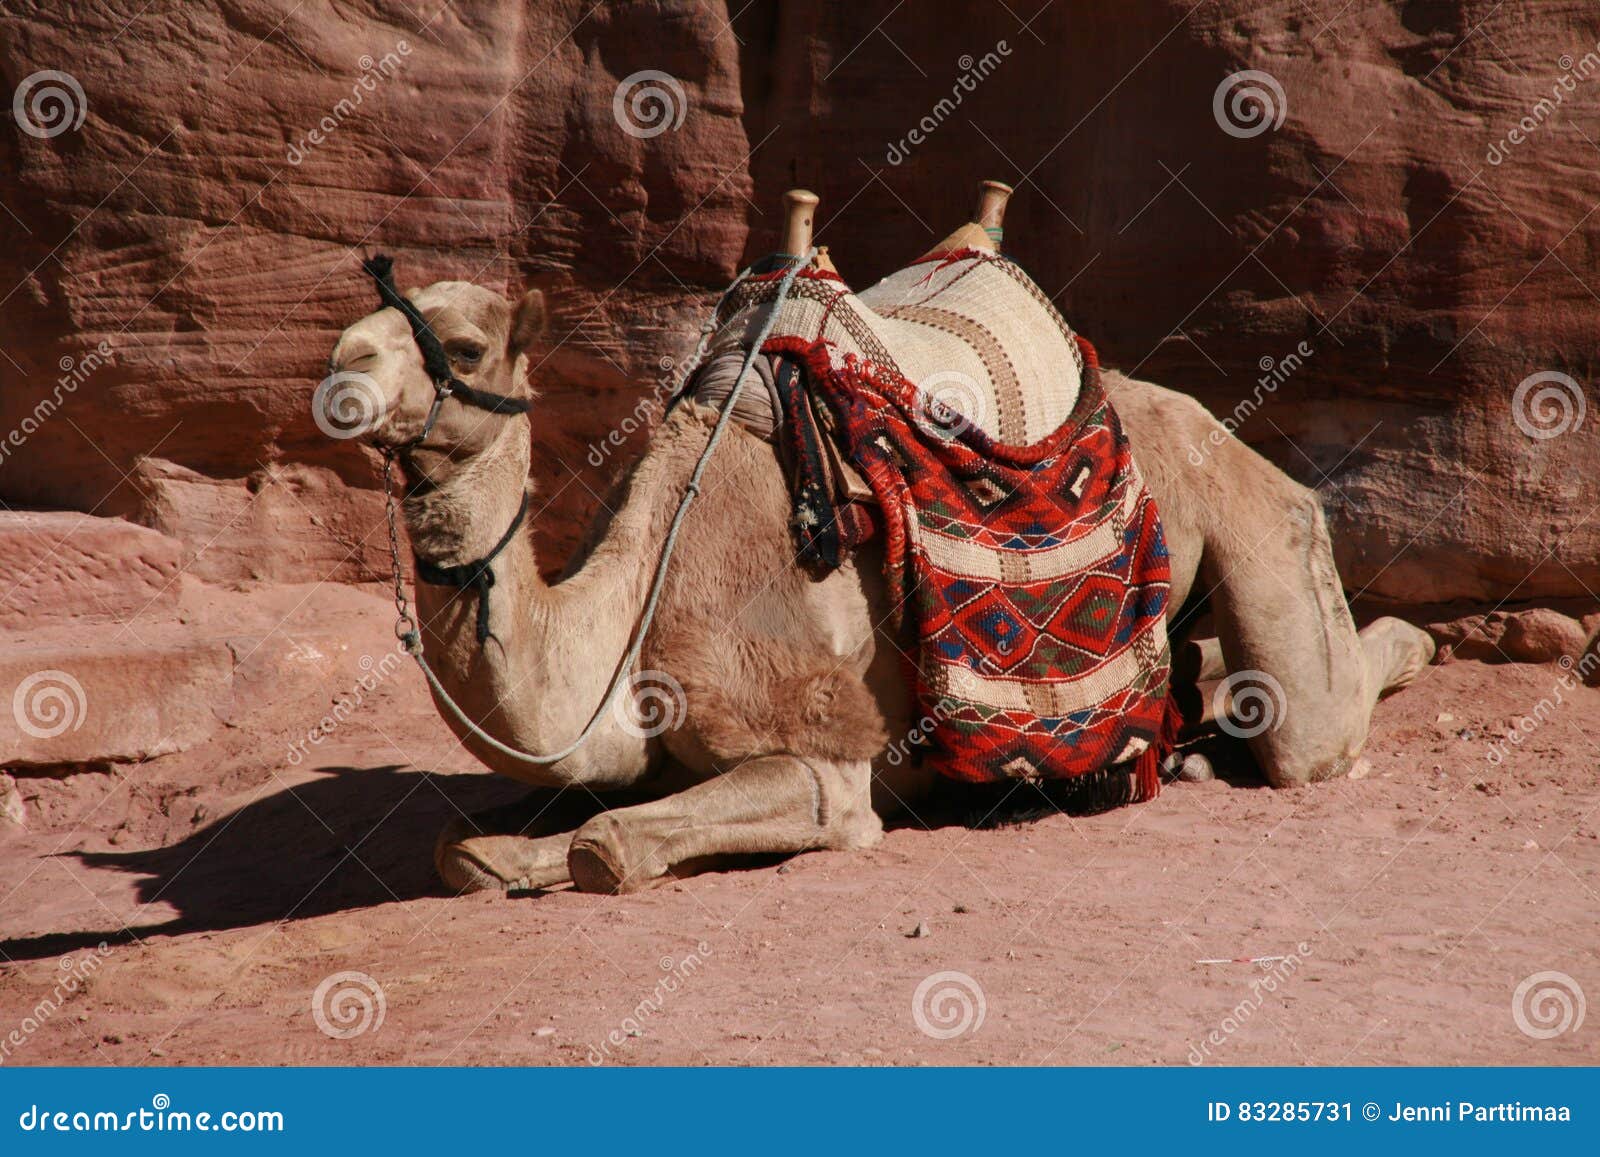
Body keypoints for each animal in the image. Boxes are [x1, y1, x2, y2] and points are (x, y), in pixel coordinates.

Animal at [321, 185, 1434, 895]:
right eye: (369, 323)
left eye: (465, 347)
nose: (339, 367)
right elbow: (475, 850)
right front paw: (508, 858)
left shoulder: (828, 764)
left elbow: (609, 846)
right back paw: (1189, 729)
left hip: (1256, 511)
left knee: (1306, 726)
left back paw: (1408, 647)